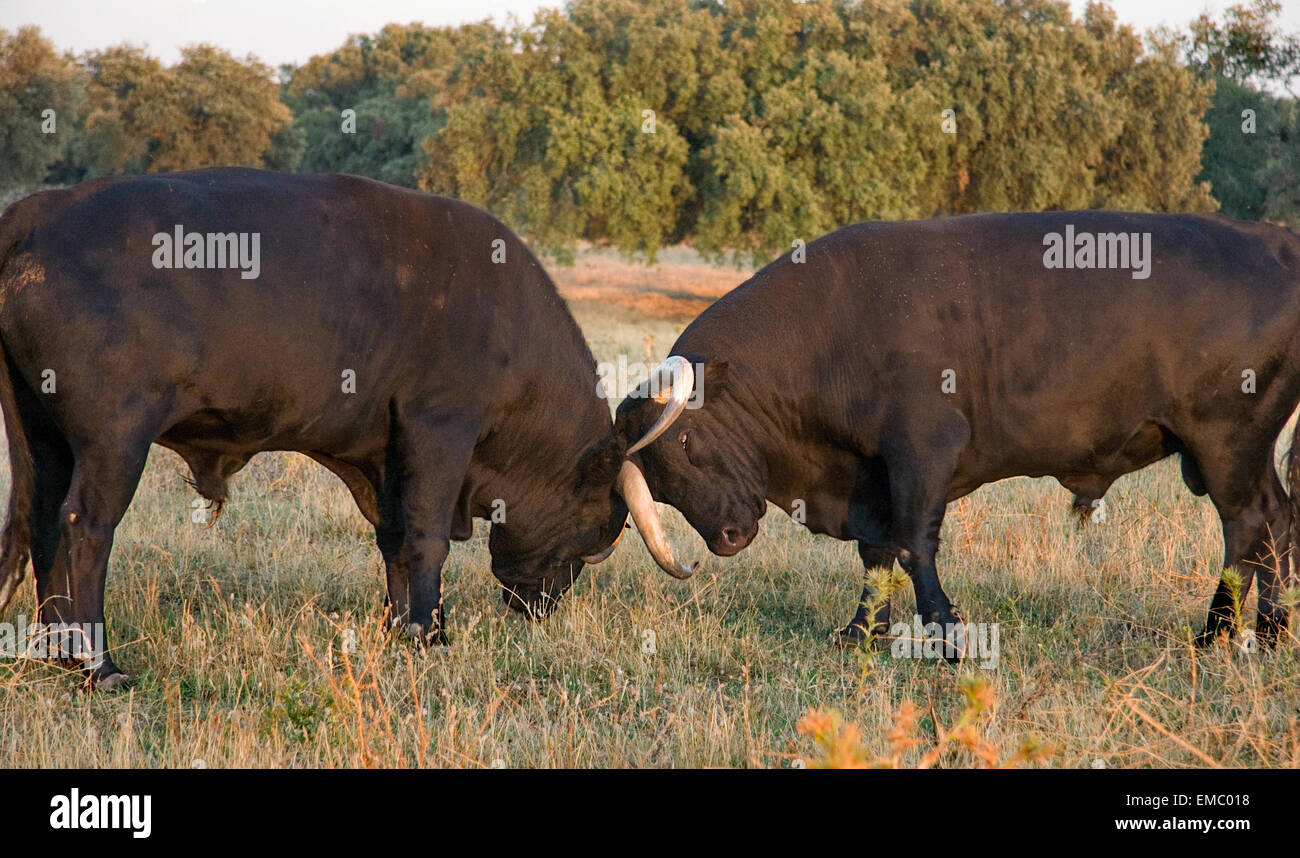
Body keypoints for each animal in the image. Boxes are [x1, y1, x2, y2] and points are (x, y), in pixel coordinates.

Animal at [0, 167, 696, 688]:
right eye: (599, 531)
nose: (541, 606)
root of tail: (40, 209)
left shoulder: (383, 458)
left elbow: (395, 540)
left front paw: (405, 628)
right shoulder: (439, 430)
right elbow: (426, 538)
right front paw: (427, 636)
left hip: (42, 439)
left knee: (39, 523)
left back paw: (56, 651)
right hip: (115, 438)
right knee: (85, 527)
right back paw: (99, 665)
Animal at [614, 212, 1300, 653]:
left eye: (685, 442)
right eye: (660, 484)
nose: (727, 538)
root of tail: (1273, 239)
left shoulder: (923, 451)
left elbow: (914, 543)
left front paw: (946, 634)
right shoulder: (871, 476)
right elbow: (877, 553)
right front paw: (861, 633)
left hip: (1226, 443)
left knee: (1250, 523)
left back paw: (1217, 635)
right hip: (1238, 450)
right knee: (1276, 521)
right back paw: (1269, 633)